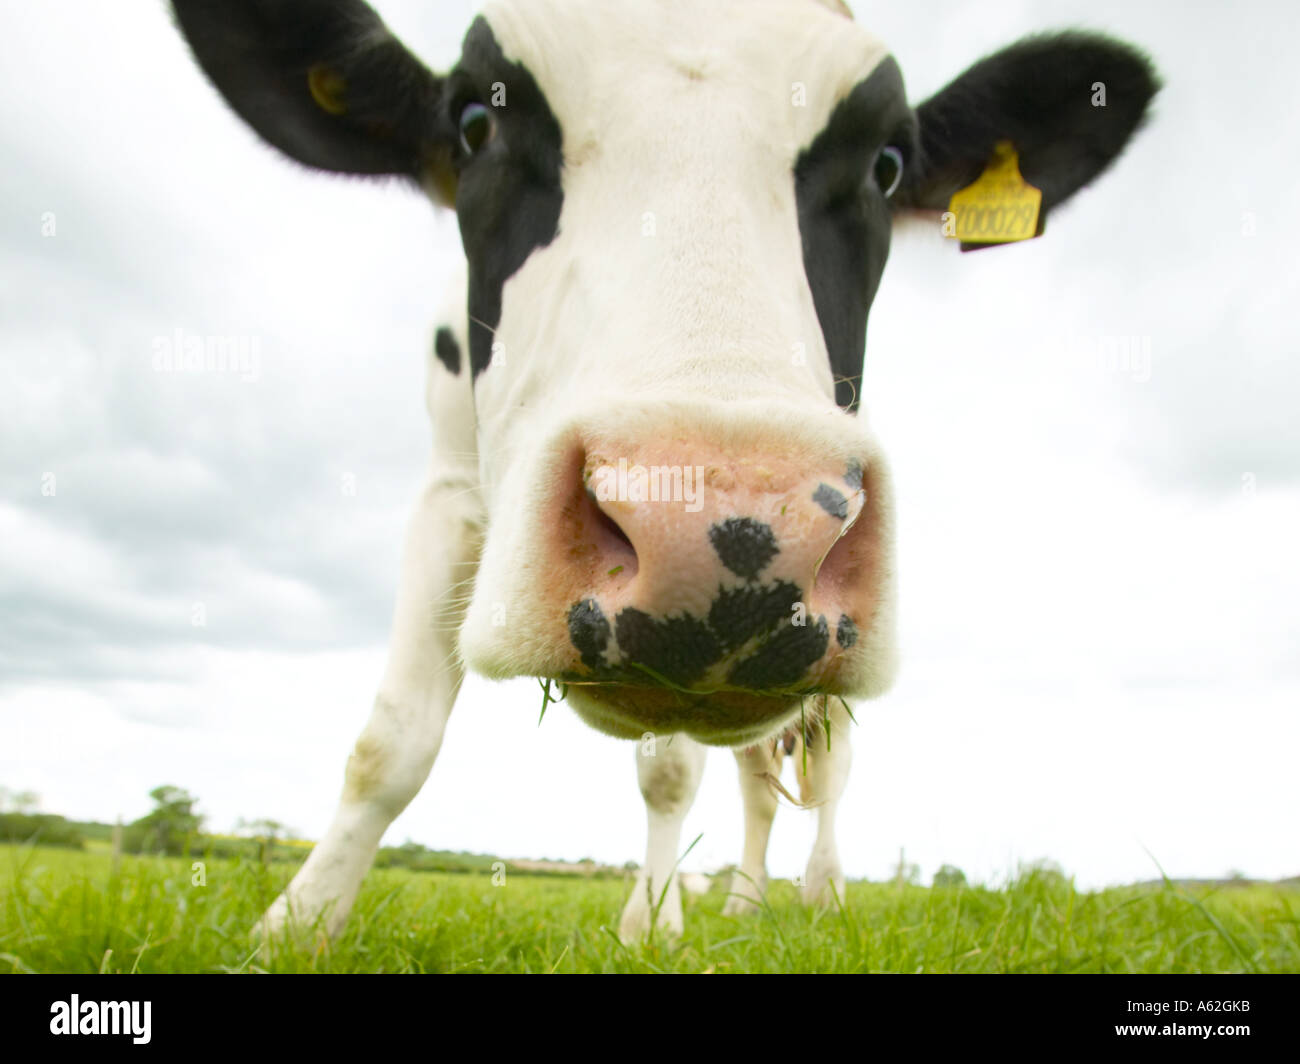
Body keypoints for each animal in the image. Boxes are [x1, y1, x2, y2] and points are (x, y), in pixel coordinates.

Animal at [168, 0, 1158, 944]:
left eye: (885, 163)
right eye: (475, 123)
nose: (722, 519)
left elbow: (671, 767)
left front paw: (652, 924)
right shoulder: (448, 491)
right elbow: (391, 739)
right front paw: (297, 926)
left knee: (829, 776)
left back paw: (823, 896)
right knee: (758, 783)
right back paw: (747, 904)